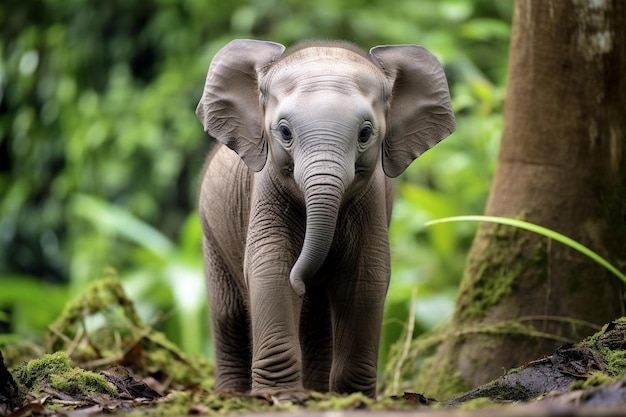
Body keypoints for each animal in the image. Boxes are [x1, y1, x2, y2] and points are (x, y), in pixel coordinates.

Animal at [196, 39, 454, 400]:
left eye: (365, 134)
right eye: (284, 132)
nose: (301, 281)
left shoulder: (371, 200)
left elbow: (366, 276)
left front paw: (352, 398)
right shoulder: (265, 187)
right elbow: (270, 265)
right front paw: (281, 398)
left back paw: (315, 391)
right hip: (211, 234)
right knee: (228, 314)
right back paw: (232, 395)